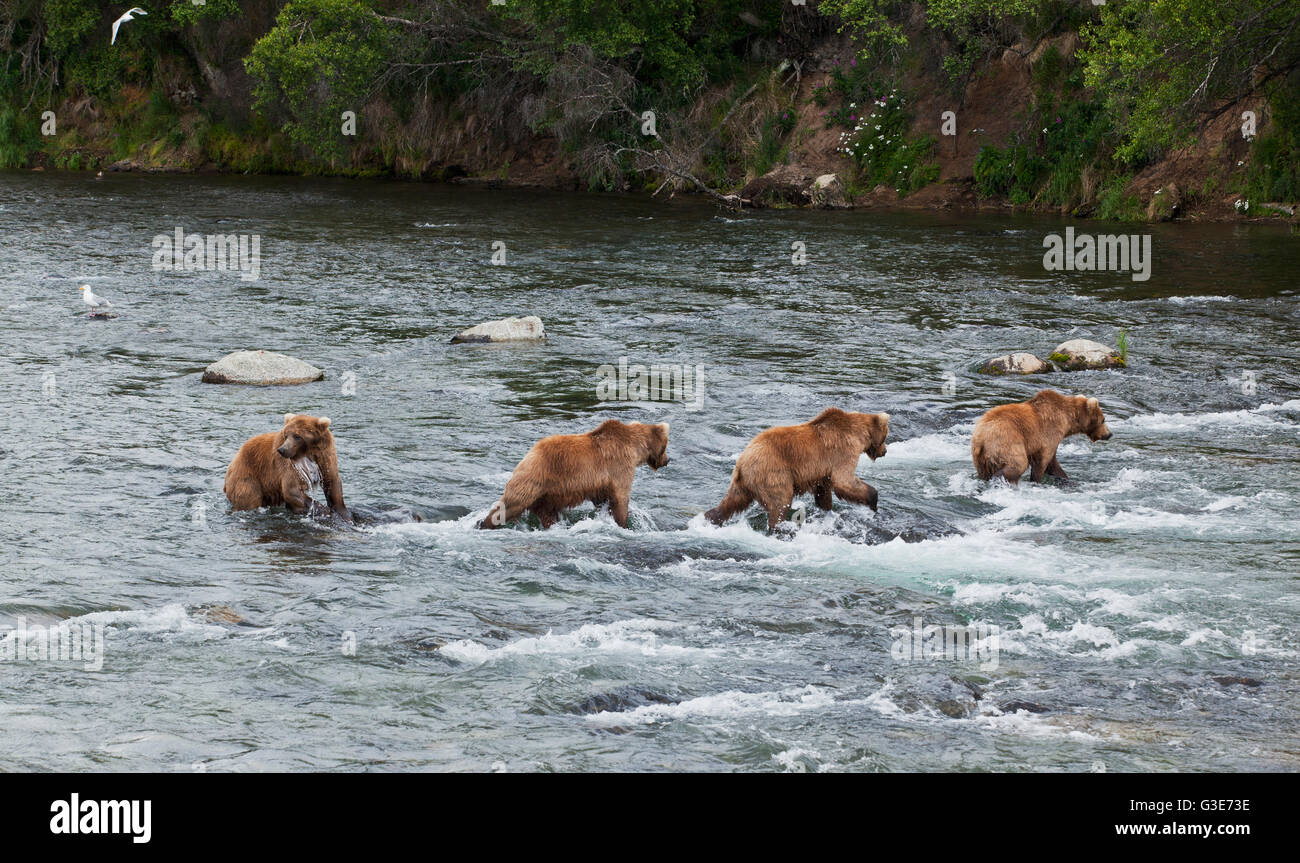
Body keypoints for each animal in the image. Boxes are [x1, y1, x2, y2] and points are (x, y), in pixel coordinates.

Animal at [224, 413, 352, 522]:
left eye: (297, 436)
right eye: (286, 435)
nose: (282, 450)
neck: (307, 454)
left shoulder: (325, 457)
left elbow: (332, 482)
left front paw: (344, 514)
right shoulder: (288, 466)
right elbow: (291, 489)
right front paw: (327, 512)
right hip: (248, 476)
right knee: (250, 497)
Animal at [479, 419, 670, 530]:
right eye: (666, 446)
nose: (668, 460)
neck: (635, 448)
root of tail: (529, 453)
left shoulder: (600, 482)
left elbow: (603, 498)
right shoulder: (619, 467)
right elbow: (620, 499)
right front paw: (623, 523)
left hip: (548, 495)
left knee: (545, 512)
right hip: (537, 476)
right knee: (512, 502)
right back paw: (484, 523)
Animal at [704, 407, 890, 532]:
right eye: (886, 436)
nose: (885, 451)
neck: (859, 435)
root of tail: (742, 460)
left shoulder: (822, 473)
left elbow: (824, 492)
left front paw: (827, 511)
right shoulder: (843, 452)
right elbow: (845, 481)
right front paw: (874, 502)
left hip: (742, 483)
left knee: (731, 503)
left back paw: (710, 518)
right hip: (773, 473)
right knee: (780, 503)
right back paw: (778, 528)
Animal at [970, 389, 1112, 485]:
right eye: (1103, 419)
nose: (1109, 434)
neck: (1068, 419)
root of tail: (981, 437)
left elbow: (1053, 463)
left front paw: (1064, 477)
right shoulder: (1049, 434)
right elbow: (1042, 461)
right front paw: (1037, 480)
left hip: (981, 457)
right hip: (1005, 440)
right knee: (1018, 463)